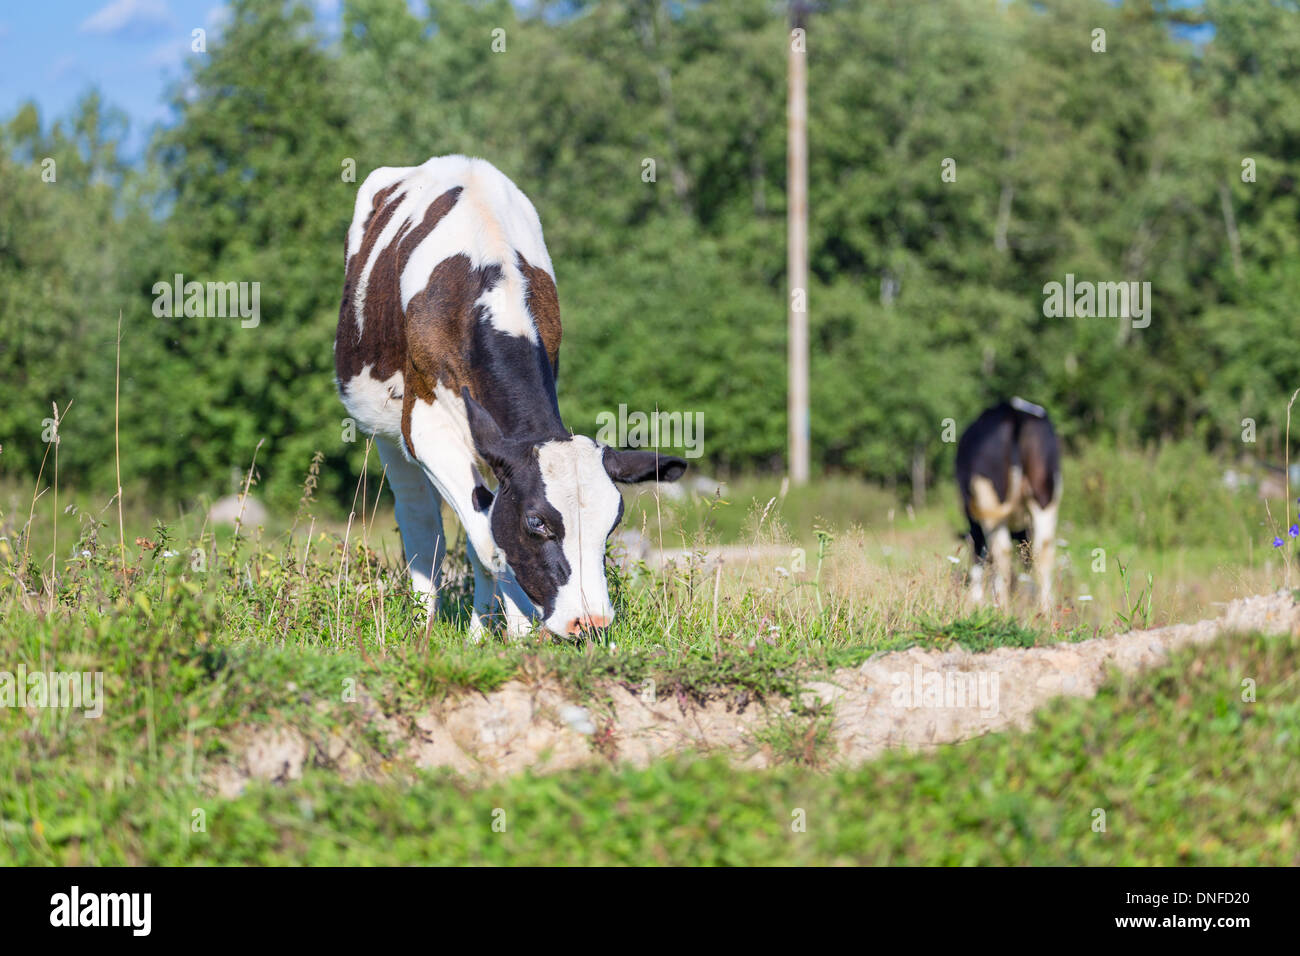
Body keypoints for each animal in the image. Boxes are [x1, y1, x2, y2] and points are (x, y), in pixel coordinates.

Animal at [335, 155, 686, 639]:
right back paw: (425, 620)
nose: (590, 621)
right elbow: (489, 543)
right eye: (536, 523)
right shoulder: (425, 426)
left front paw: (494, 631)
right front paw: (515, 632)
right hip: (386, 429)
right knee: (422, 524)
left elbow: (488, 537)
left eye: (612, 524)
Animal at [955, 397, 1061, 613]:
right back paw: (1045, 610)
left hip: (987, 497)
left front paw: (975, 600)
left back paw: (1001, 607)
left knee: (1000, 551)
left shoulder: (973, 520)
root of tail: (1014, 411)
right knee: (1043, 550)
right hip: (1045, 496)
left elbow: (979, 554)